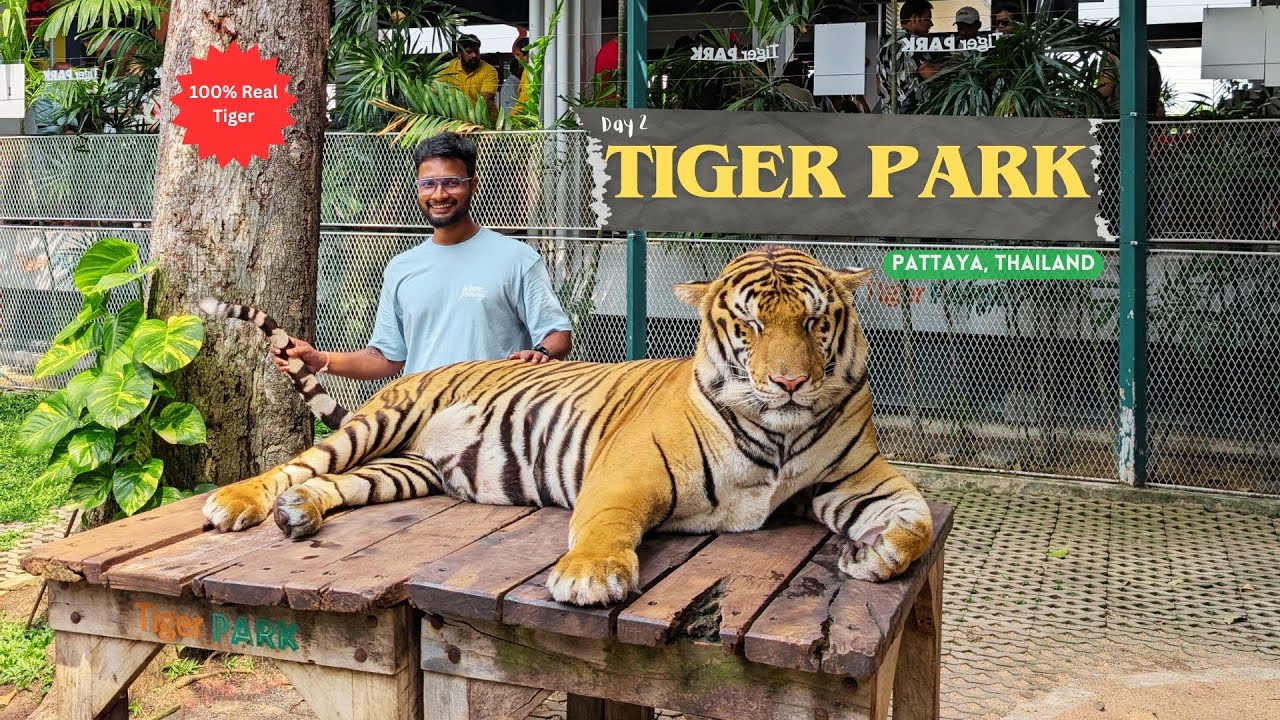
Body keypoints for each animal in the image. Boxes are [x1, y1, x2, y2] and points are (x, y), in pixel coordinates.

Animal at [198, 246, 933, 607]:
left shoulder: (859, 476)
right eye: (750, 326)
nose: (788, 383)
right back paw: (238, 502)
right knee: (300, 464)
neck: (779, 432)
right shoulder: (630, 466)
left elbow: (917, 520)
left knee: (338, 484)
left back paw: (299, 512)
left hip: (406, 470)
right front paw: (588, 576)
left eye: (813, 321)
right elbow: (606, 520)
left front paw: (876, 556)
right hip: (381, 422)